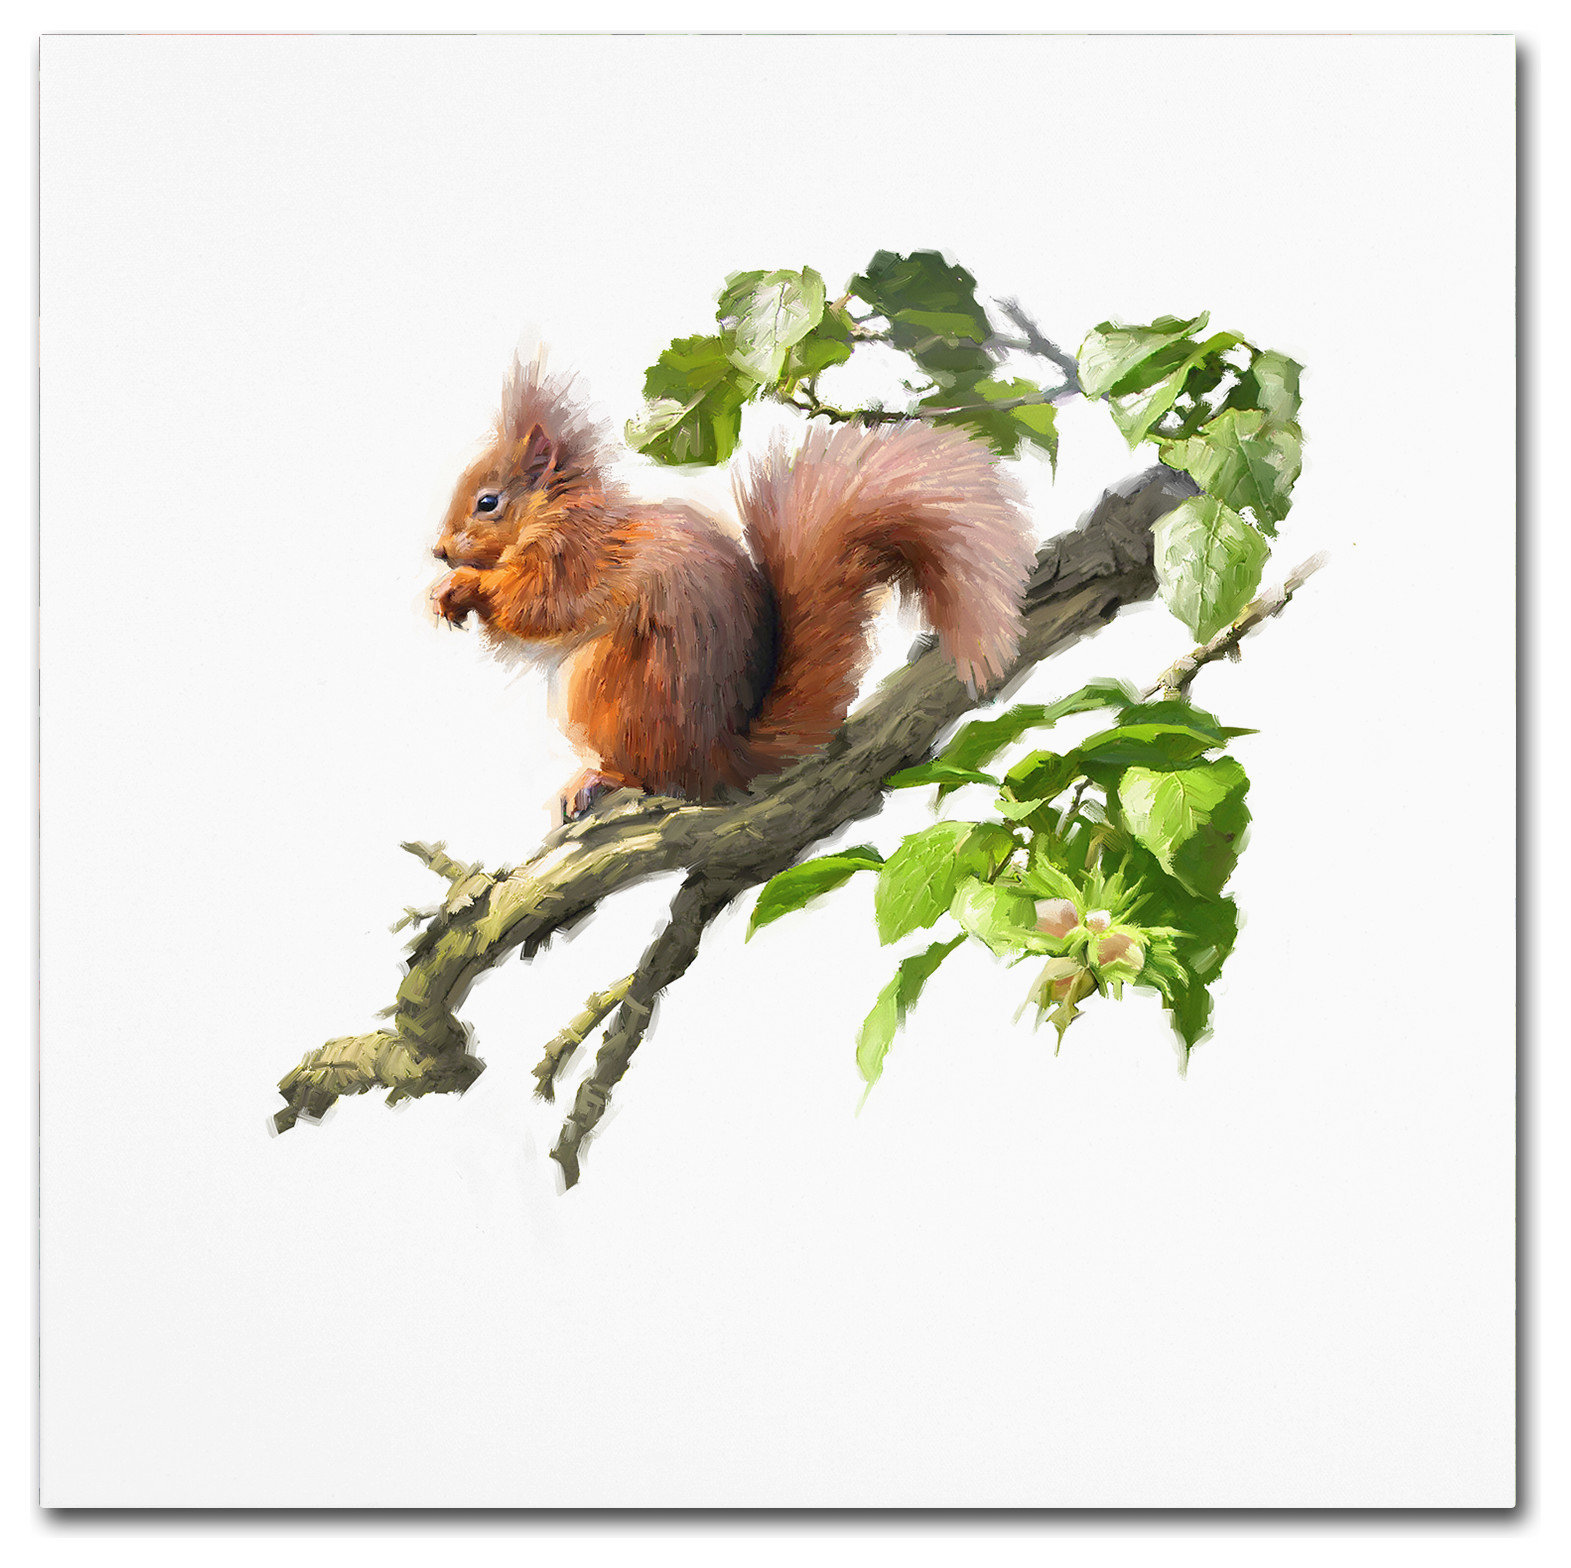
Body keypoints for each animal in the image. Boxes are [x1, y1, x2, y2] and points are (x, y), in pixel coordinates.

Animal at [431, 353, 1039, 819]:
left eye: (488, 502)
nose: (438, 551)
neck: (554, 516)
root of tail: (716, 757)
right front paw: (443, 595)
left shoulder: (573, 561)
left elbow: (536, 607)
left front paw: (465, 587)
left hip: (604, 686)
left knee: (645, 776)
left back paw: (598, 779)